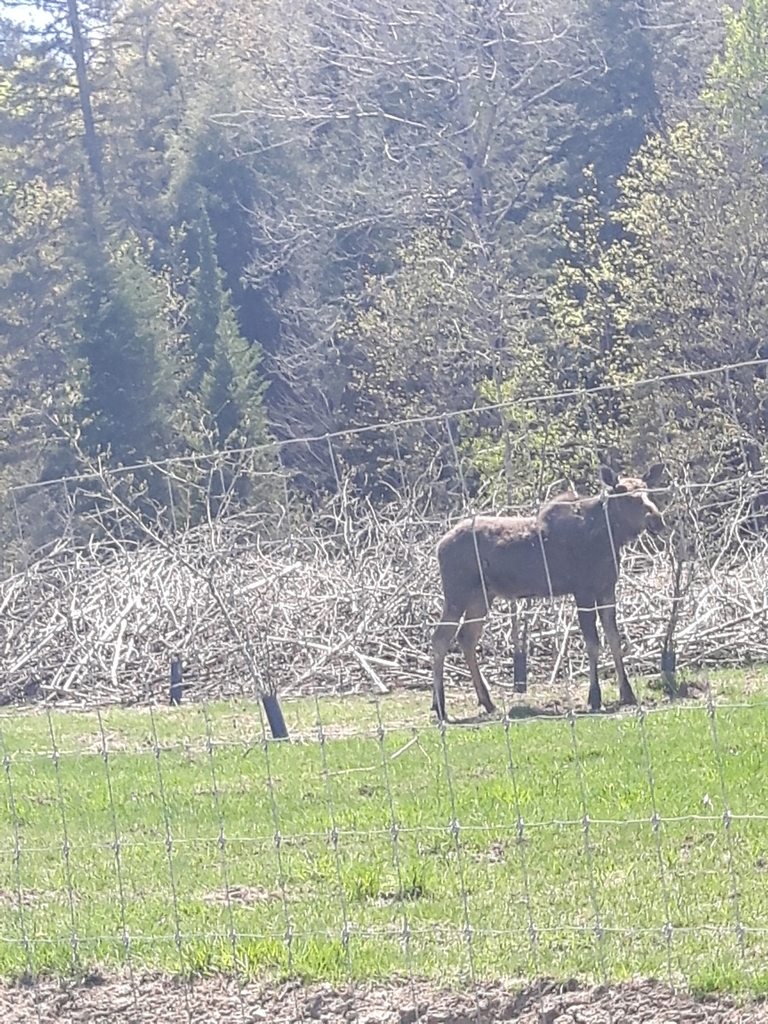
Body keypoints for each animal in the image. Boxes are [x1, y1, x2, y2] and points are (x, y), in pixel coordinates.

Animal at [431, 465, 665, 721]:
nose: (656, 518)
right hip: (457, 594)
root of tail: (439, 545)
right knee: (440, 639)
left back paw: (487, 701)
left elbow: (614, 639)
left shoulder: (607, 590)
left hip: (481, 597)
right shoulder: (583, 591)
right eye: (622, 492)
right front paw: (594, 697)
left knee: (466, 637)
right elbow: (593, 643)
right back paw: (440, 707)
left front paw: (627, 693)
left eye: (648, 490)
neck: (610, 538)